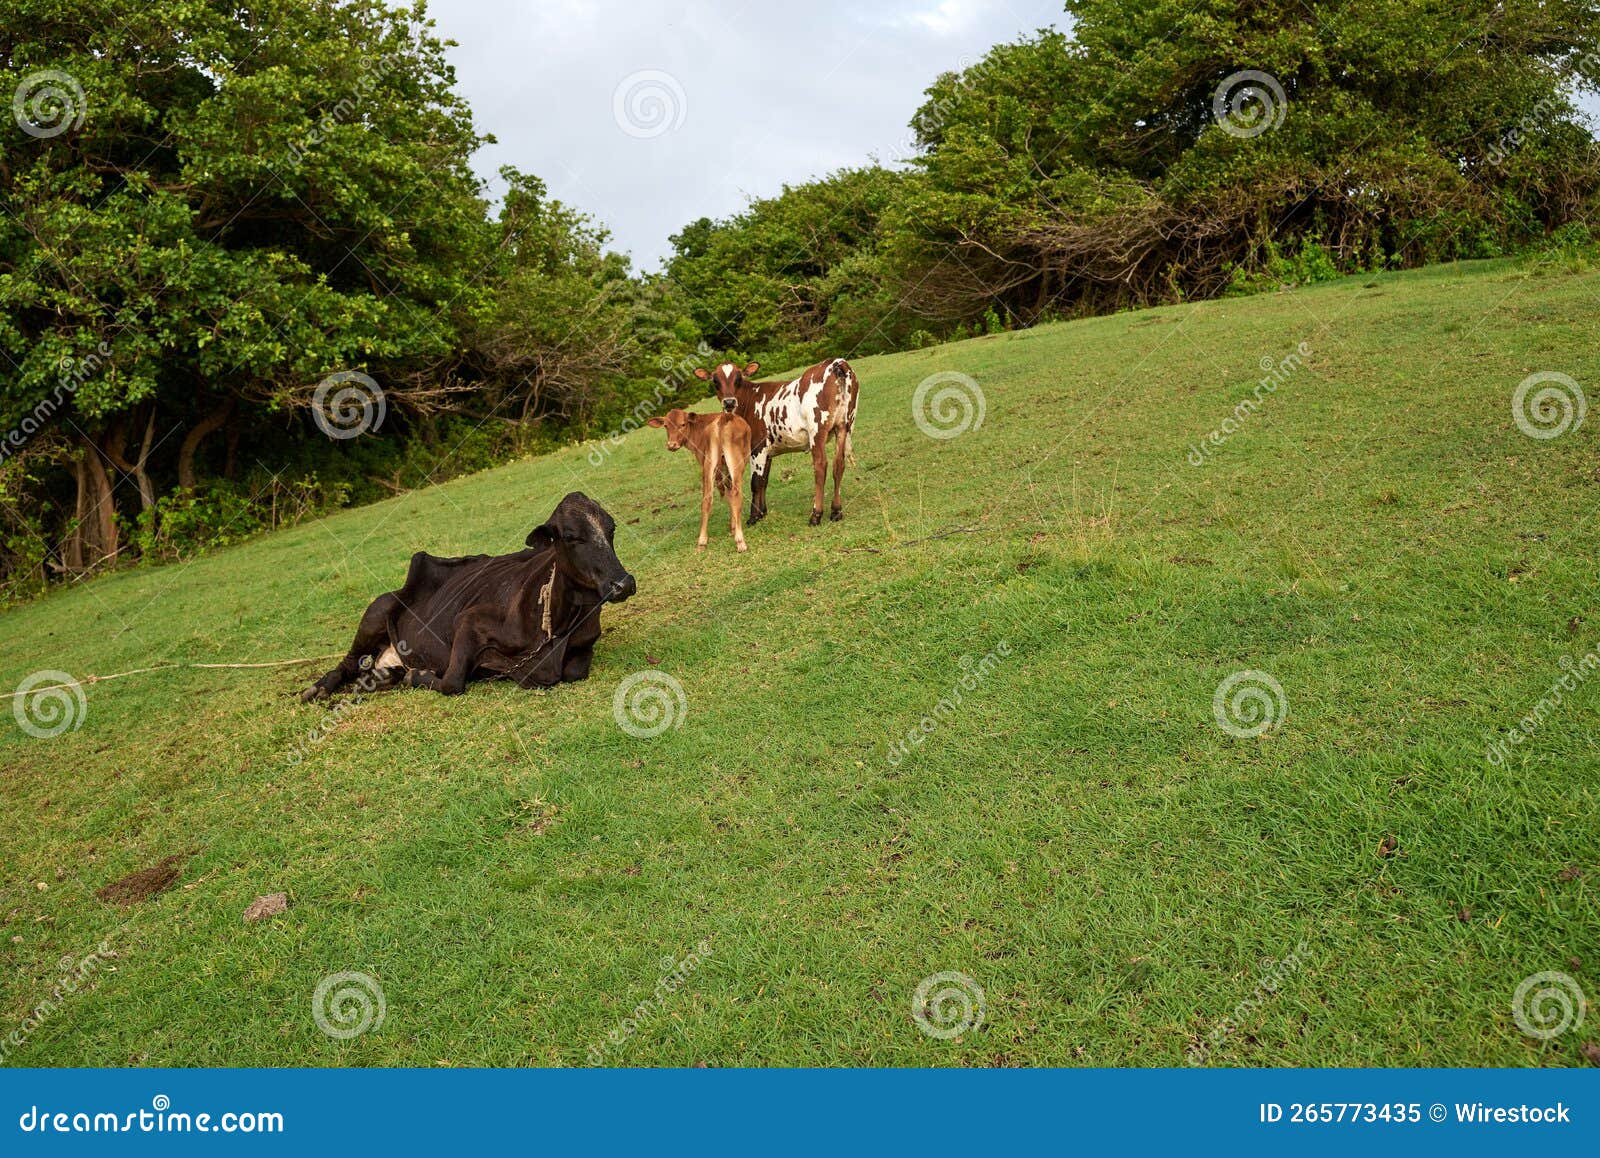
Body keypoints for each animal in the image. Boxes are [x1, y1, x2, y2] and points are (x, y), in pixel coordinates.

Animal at [300, 492, 635, 700]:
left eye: (611, 530)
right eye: (570, 536)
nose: (623, 583)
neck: (558, 622)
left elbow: (575, 671)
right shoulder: (469, 620)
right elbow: (452, 682)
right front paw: (418, 677)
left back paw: (385, 677)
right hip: (377, 610)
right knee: (347, 662)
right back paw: (319, 689)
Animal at [647, 409, 751, 553]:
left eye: (683, 424)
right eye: (666, 426)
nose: (671, 445)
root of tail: (723, 417)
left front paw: (733, 527)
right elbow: (730, 494)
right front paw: (734, 528)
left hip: (709, 463)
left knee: (707, 499)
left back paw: (702, 542)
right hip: (735, 462)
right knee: (735, 493)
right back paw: (740, 542)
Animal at [694, 358, 858, 526]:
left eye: (738, 378)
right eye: (715, 381)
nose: (729, 402)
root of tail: (836, 362)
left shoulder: (758, 447)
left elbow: (755, 482)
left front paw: (753, 516)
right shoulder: (768, 452)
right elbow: (764, 481)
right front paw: (762, 512)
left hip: (817, 430)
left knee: (820, 466)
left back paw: (816, 515)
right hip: (844, 426)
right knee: (838, 465)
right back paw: (836, 511)